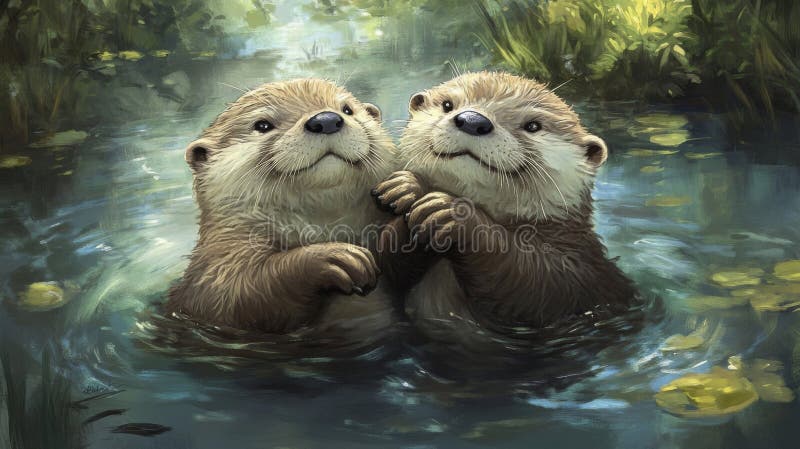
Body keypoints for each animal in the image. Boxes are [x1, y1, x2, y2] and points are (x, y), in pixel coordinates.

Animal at [167, 79, 396, 334]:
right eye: (262, 124)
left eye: (347, 109)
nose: (326, 120)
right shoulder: (214, 267)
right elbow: (236, 292)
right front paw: (332, 257)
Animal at [373, 71, 637, 337]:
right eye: (447, 105)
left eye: (533, 126)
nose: (472, 120)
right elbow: (391, 265)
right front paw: (407, 187)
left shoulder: (579, 271)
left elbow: (533, 279)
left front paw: (452, 214)